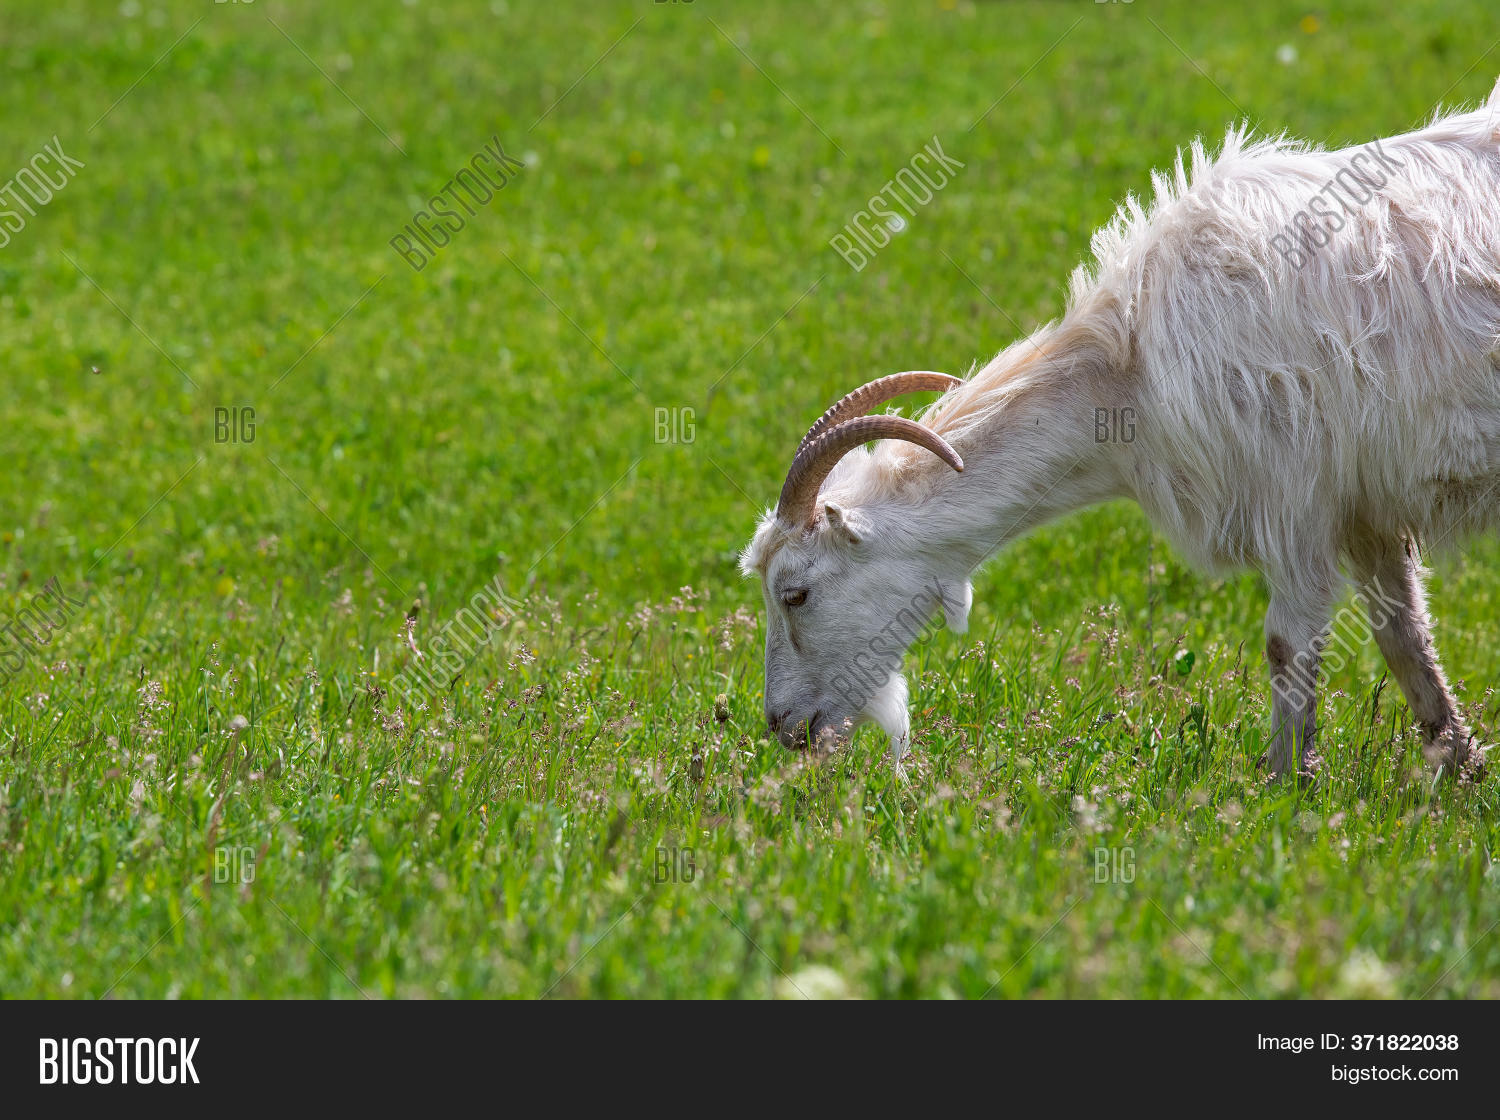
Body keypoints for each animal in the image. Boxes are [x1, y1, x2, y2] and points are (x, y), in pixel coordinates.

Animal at [741, 80, 1500, 779]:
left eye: (795, 593)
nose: (782, 725)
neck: (1127, 370)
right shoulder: (1367, 506)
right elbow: (1403, 634)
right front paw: (1458, 767)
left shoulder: (1294, 501)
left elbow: (1288, 646)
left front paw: (1280, 790)